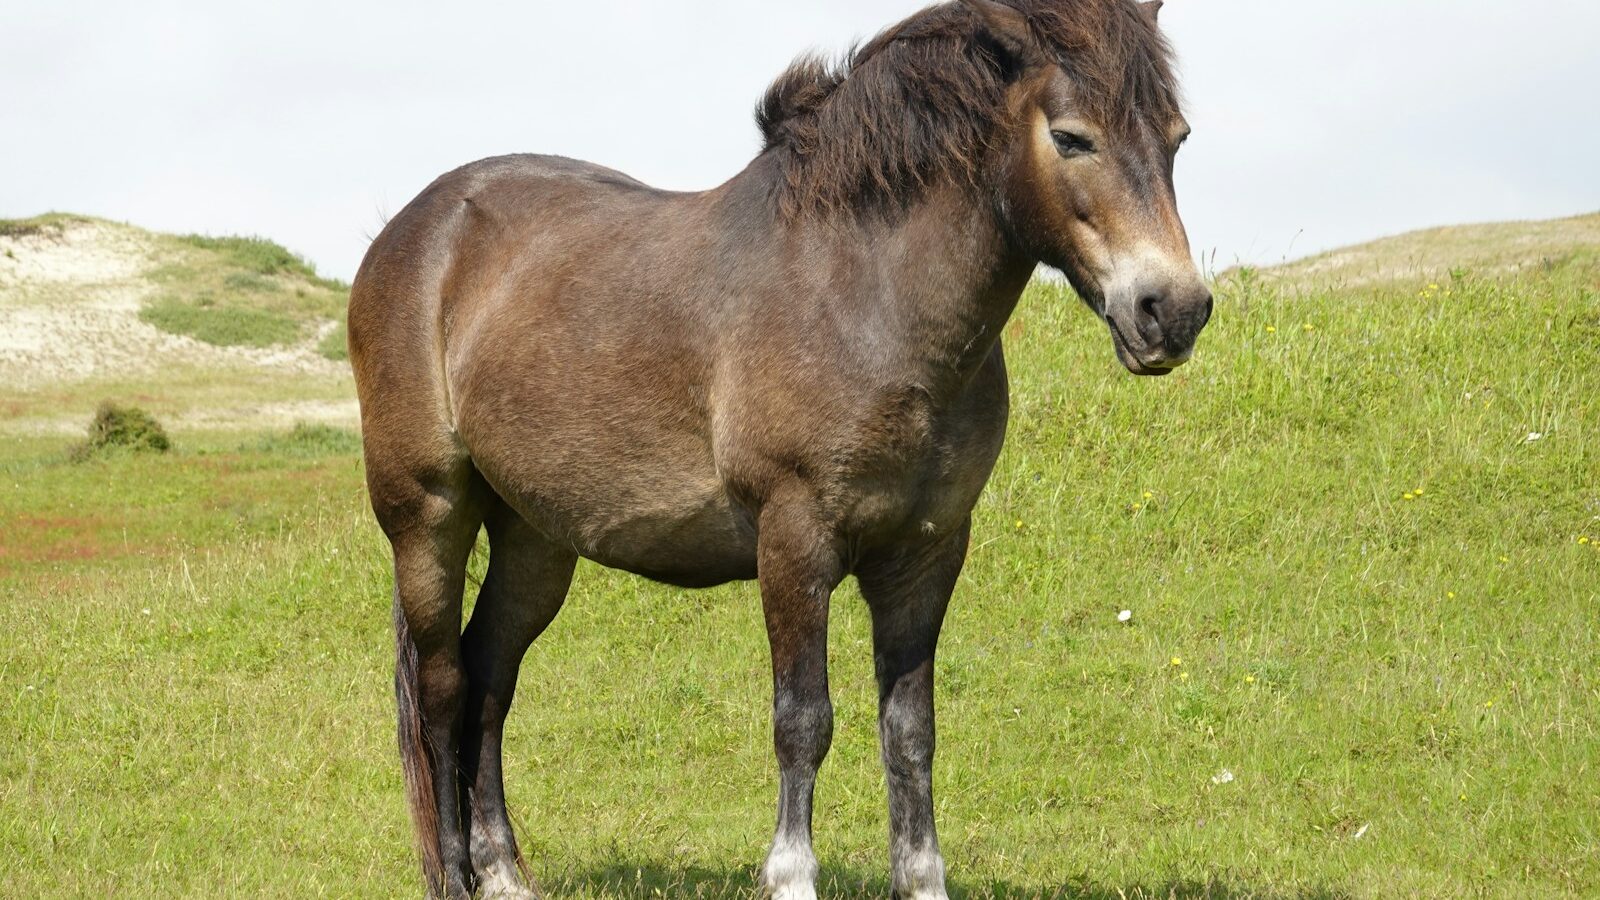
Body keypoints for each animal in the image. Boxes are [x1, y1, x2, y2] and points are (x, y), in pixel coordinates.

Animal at [348, 0, 1209, 897]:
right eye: (1073, 138)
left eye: (1177, 137)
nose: (1172, 311)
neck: (864, 296)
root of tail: (416, 230)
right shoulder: (796, 540)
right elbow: (803, 719)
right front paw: (791, 873)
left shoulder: (927, 554)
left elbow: (911, 730)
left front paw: (922, 877)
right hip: (429, 515)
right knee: (443, 687)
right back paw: (454, 874)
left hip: (535, 539)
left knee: (490, 677)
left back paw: (504, 871)